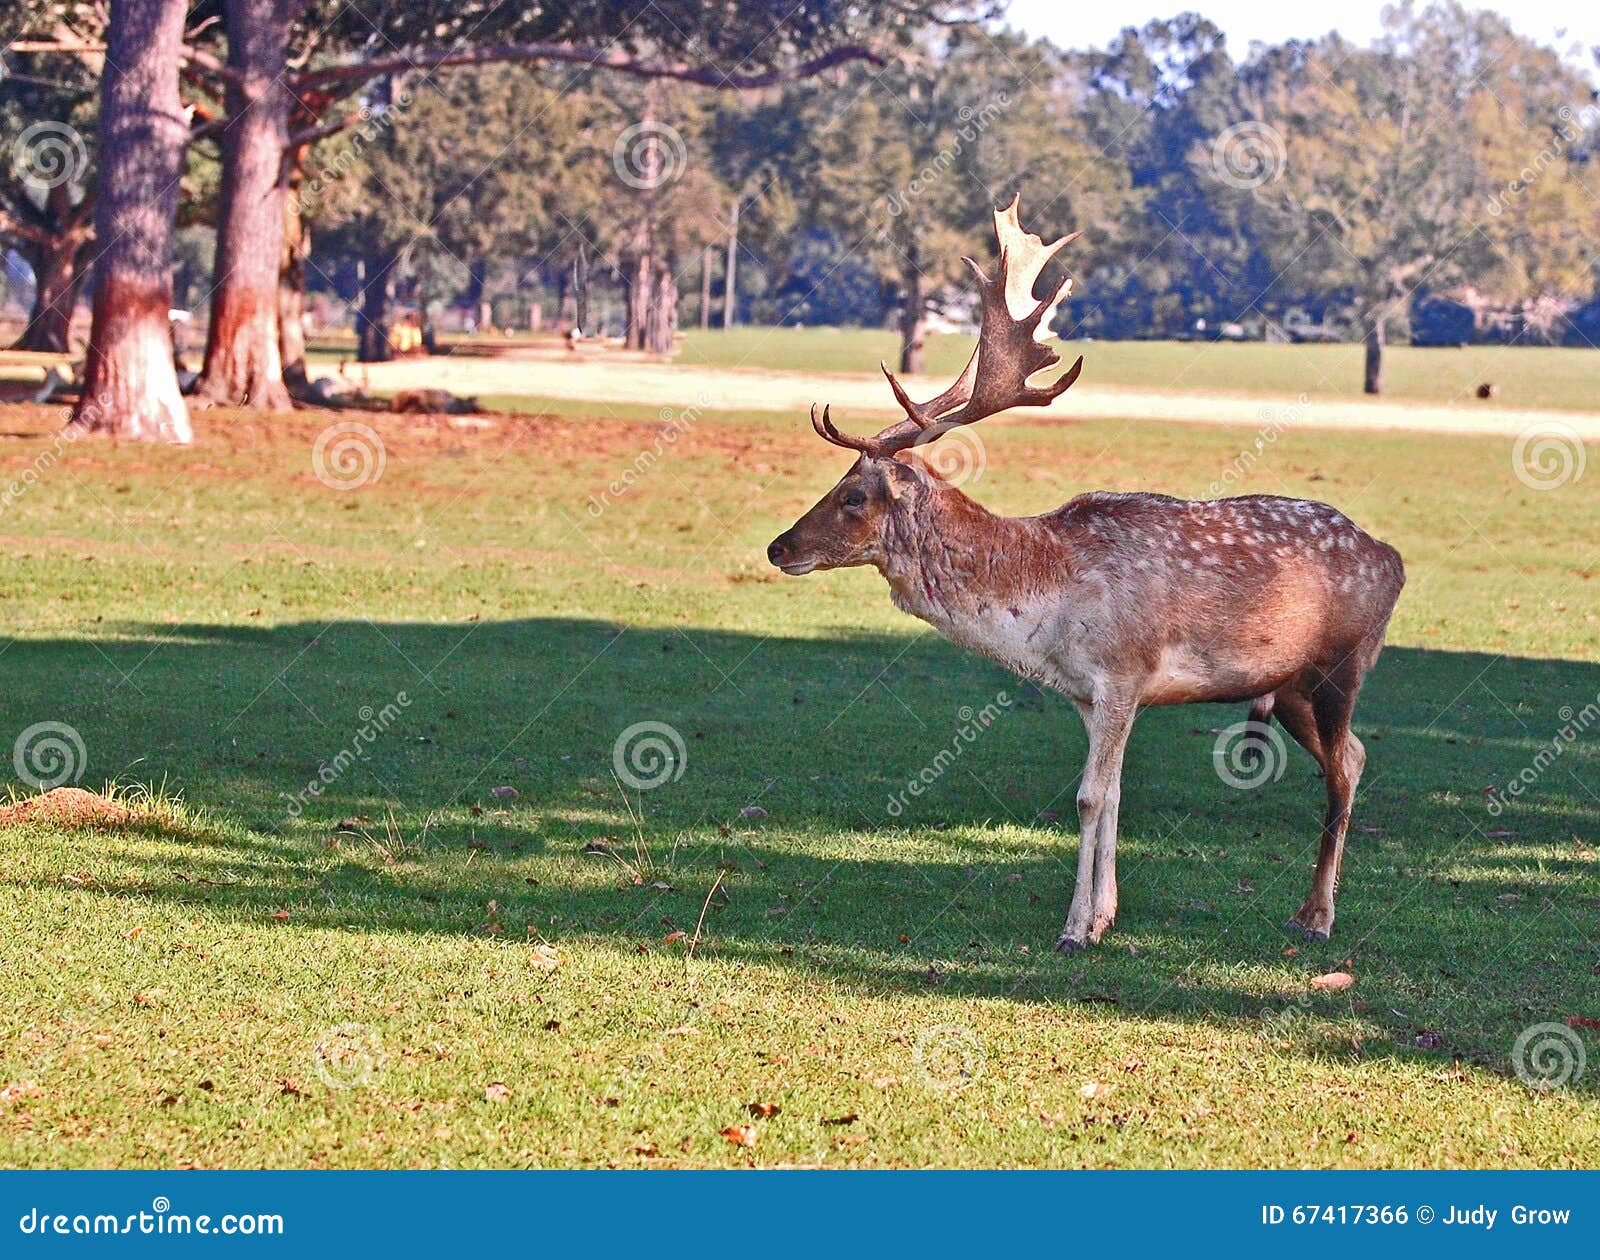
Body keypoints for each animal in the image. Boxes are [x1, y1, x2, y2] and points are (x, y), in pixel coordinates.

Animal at [767, 197, 1405, 952]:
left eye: (853, 496)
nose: (779, 547)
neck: (1044, 613)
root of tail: (1392, 557)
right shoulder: (1090, 695)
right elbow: (1117, 795)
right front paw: (1104, 917)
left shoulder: (1122, 672)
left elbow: (1087, 796)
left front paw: (1073, 928)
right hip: (1292, 685)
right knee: (1356, 755)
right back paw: (1308, 908)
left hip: (1344, 664)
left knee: (1343, 766)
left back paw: (1319, 916)